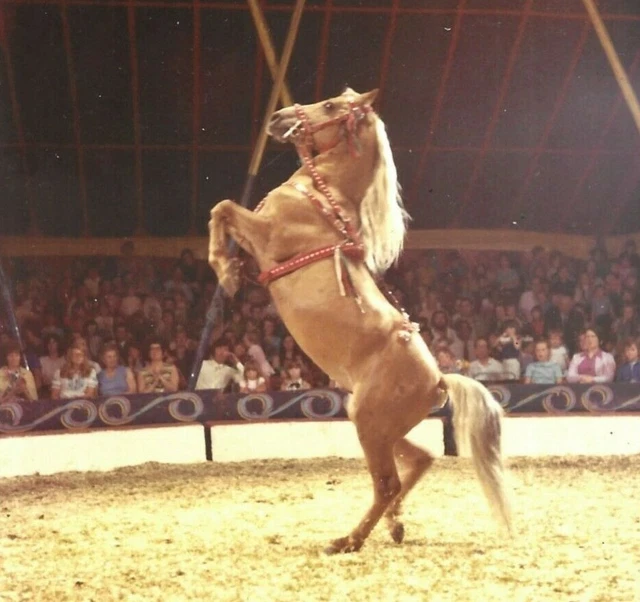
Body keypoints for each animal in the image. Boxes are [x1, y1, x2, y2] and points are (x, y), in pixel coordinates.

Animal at [207, 87, 512, 554]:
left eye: (331, 106)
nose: (279, 118)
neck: (320, 196)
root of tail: (439, 380)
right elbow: (222, 210)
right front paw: (230, 268)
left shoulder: (266, 235)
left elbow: (222, 207)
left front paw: (225, 269)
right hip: (382, 428)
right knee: (420, 460)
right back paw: (394, 524)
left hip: (369, 424)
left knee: (387, 483)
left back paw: (348, 540)